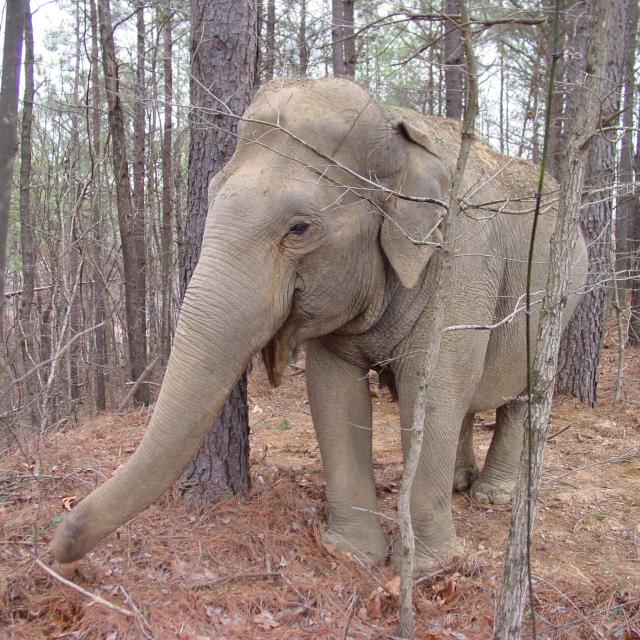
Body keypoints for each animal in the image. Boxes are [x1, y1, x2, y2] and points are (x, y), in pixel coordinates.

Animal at [51, 78, 587, 575]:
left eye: (300, 228)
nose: (57, 545)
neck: (399, 135)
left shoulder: (461, 268)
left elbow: (432, 390)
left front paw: (426, 567)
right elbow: (333, 392)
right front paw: (352, 555)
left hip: (562, 295)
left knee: (521, 393)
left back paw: (493, 497)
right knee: (471, 402)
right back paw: (461, 484)